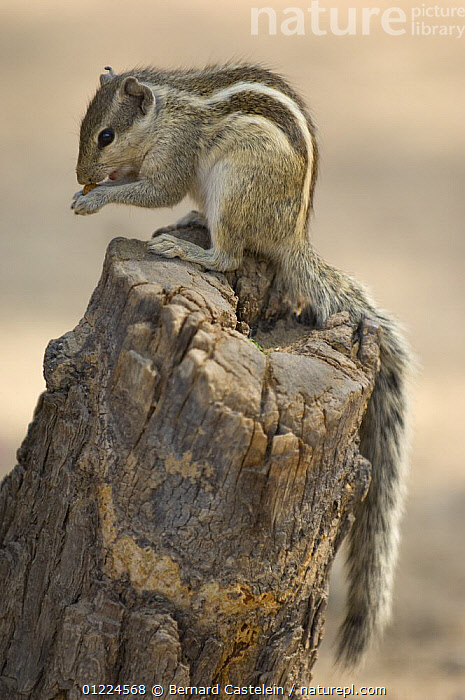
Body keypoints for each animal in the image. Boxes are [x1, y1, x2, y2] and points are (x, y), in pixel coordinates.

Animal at [72, 62, 411, 668]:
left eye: (106, 135)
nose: (84, 173)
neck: (166, 114)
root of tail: (292, 239)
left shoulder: (174, 156)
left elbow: (153, 191)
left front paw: (95, 199)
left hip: (235, 186)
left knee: (231, 254)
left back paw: (188, 249)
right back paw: (188, 224)